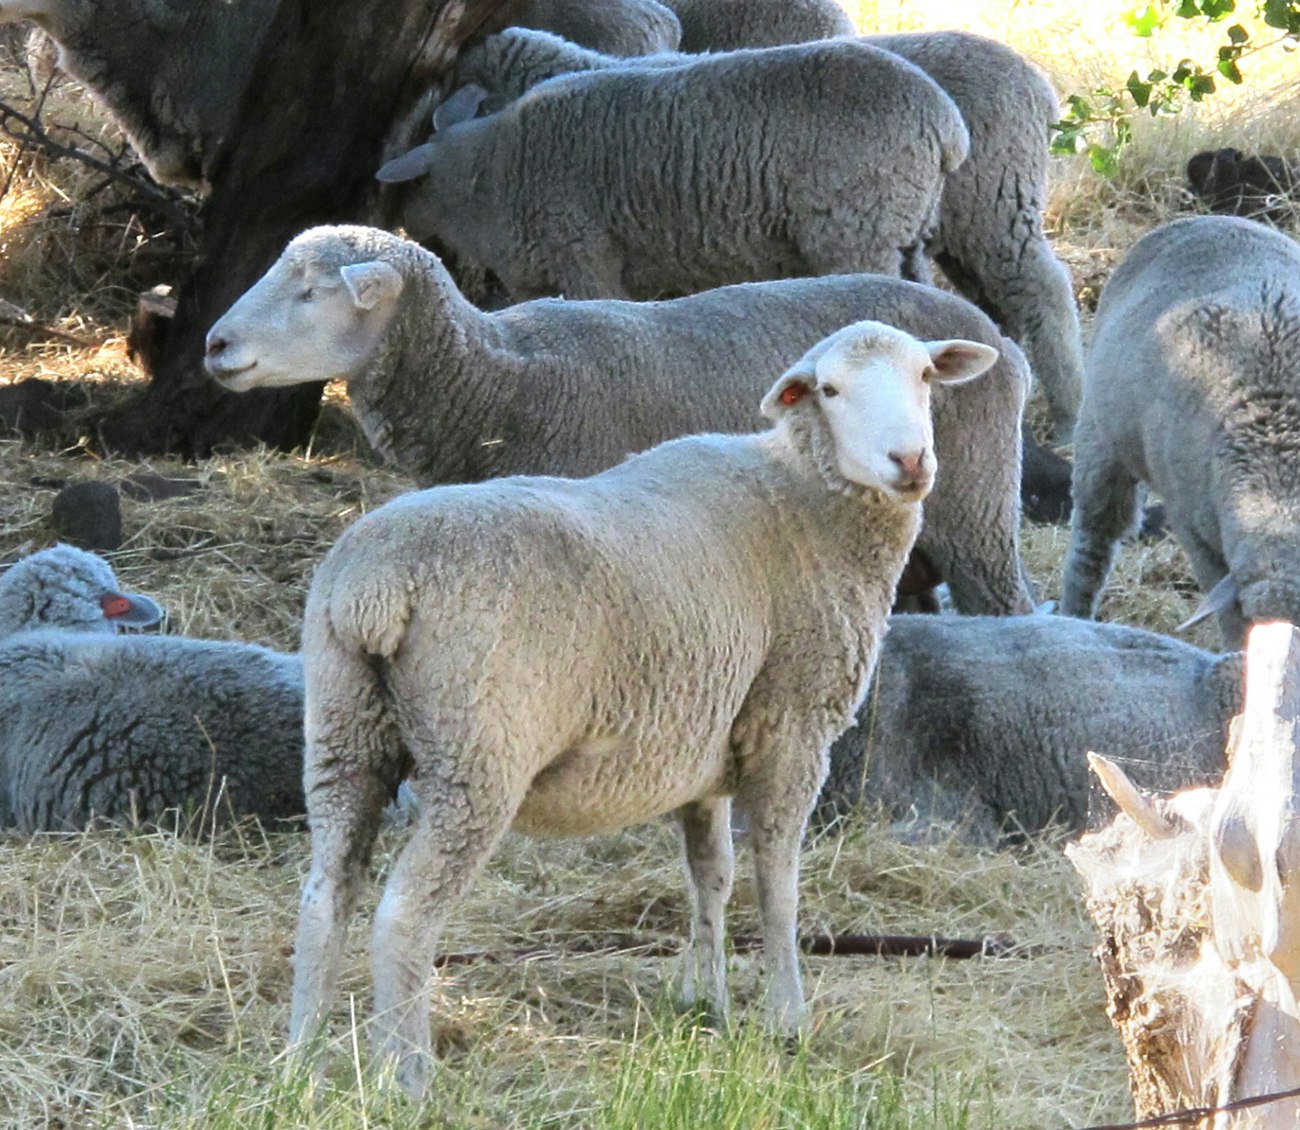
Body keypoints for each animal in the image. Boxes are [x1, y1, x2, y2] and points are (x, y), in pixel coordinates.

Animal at [287, 319, 998, 1098]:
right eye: (831, 390)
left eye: (926, 376)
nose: (910, 460)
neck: (804, 499)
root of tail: (374, 587)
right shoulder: (792, 725)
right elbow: (776, 883)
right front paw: (786, 1021)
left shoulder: (706, 741)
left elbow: (711, 874)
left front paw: (707, 1003)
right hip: (474, 753)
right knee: (403, 916)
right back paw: (407, 1077)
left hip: (344, 730)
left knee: (326, 895)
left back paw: (301, 1060)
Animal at [376, 36, 969, 299]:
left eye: (410, 182)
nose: (397, 220)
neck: (495, 168)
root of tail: (945, 126)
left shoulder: (585, 254)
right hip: (907, 233)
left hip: (857, 231)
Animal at [1061, 215, 1300, 646]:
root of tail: (1205, 220)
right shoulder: (1194, 529)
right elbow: (1230, 619)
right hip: (1100, 437)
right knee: (1094, 538)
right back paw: (1075, 615)